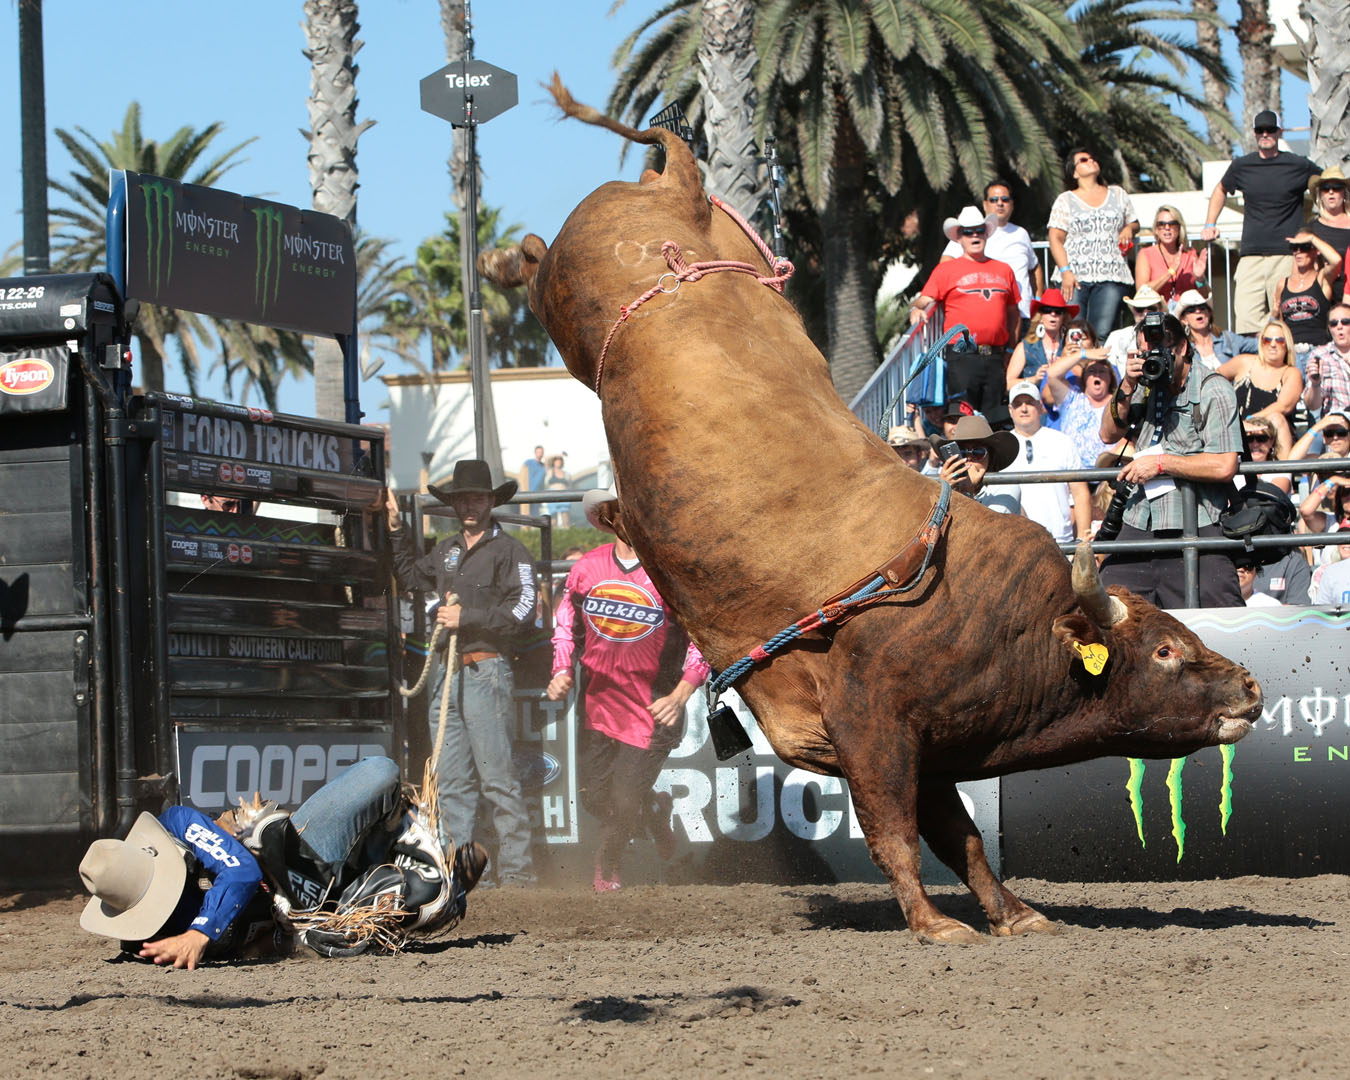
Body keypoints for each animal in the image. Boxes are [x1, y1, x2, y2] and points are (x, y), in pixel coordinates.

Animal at [479, 79, 1263, 943]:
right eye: (1164, 650)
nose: (1251, 688)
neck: (985, 608)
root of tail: (678, 187)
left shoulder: (933, 747)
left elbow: (961, 837)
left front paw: (1014, 914)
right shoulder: (875, 730)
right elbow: (895, 832)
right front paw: (933, 924)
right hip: (565, 294)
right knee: (532, 260)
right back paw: (497, 258)